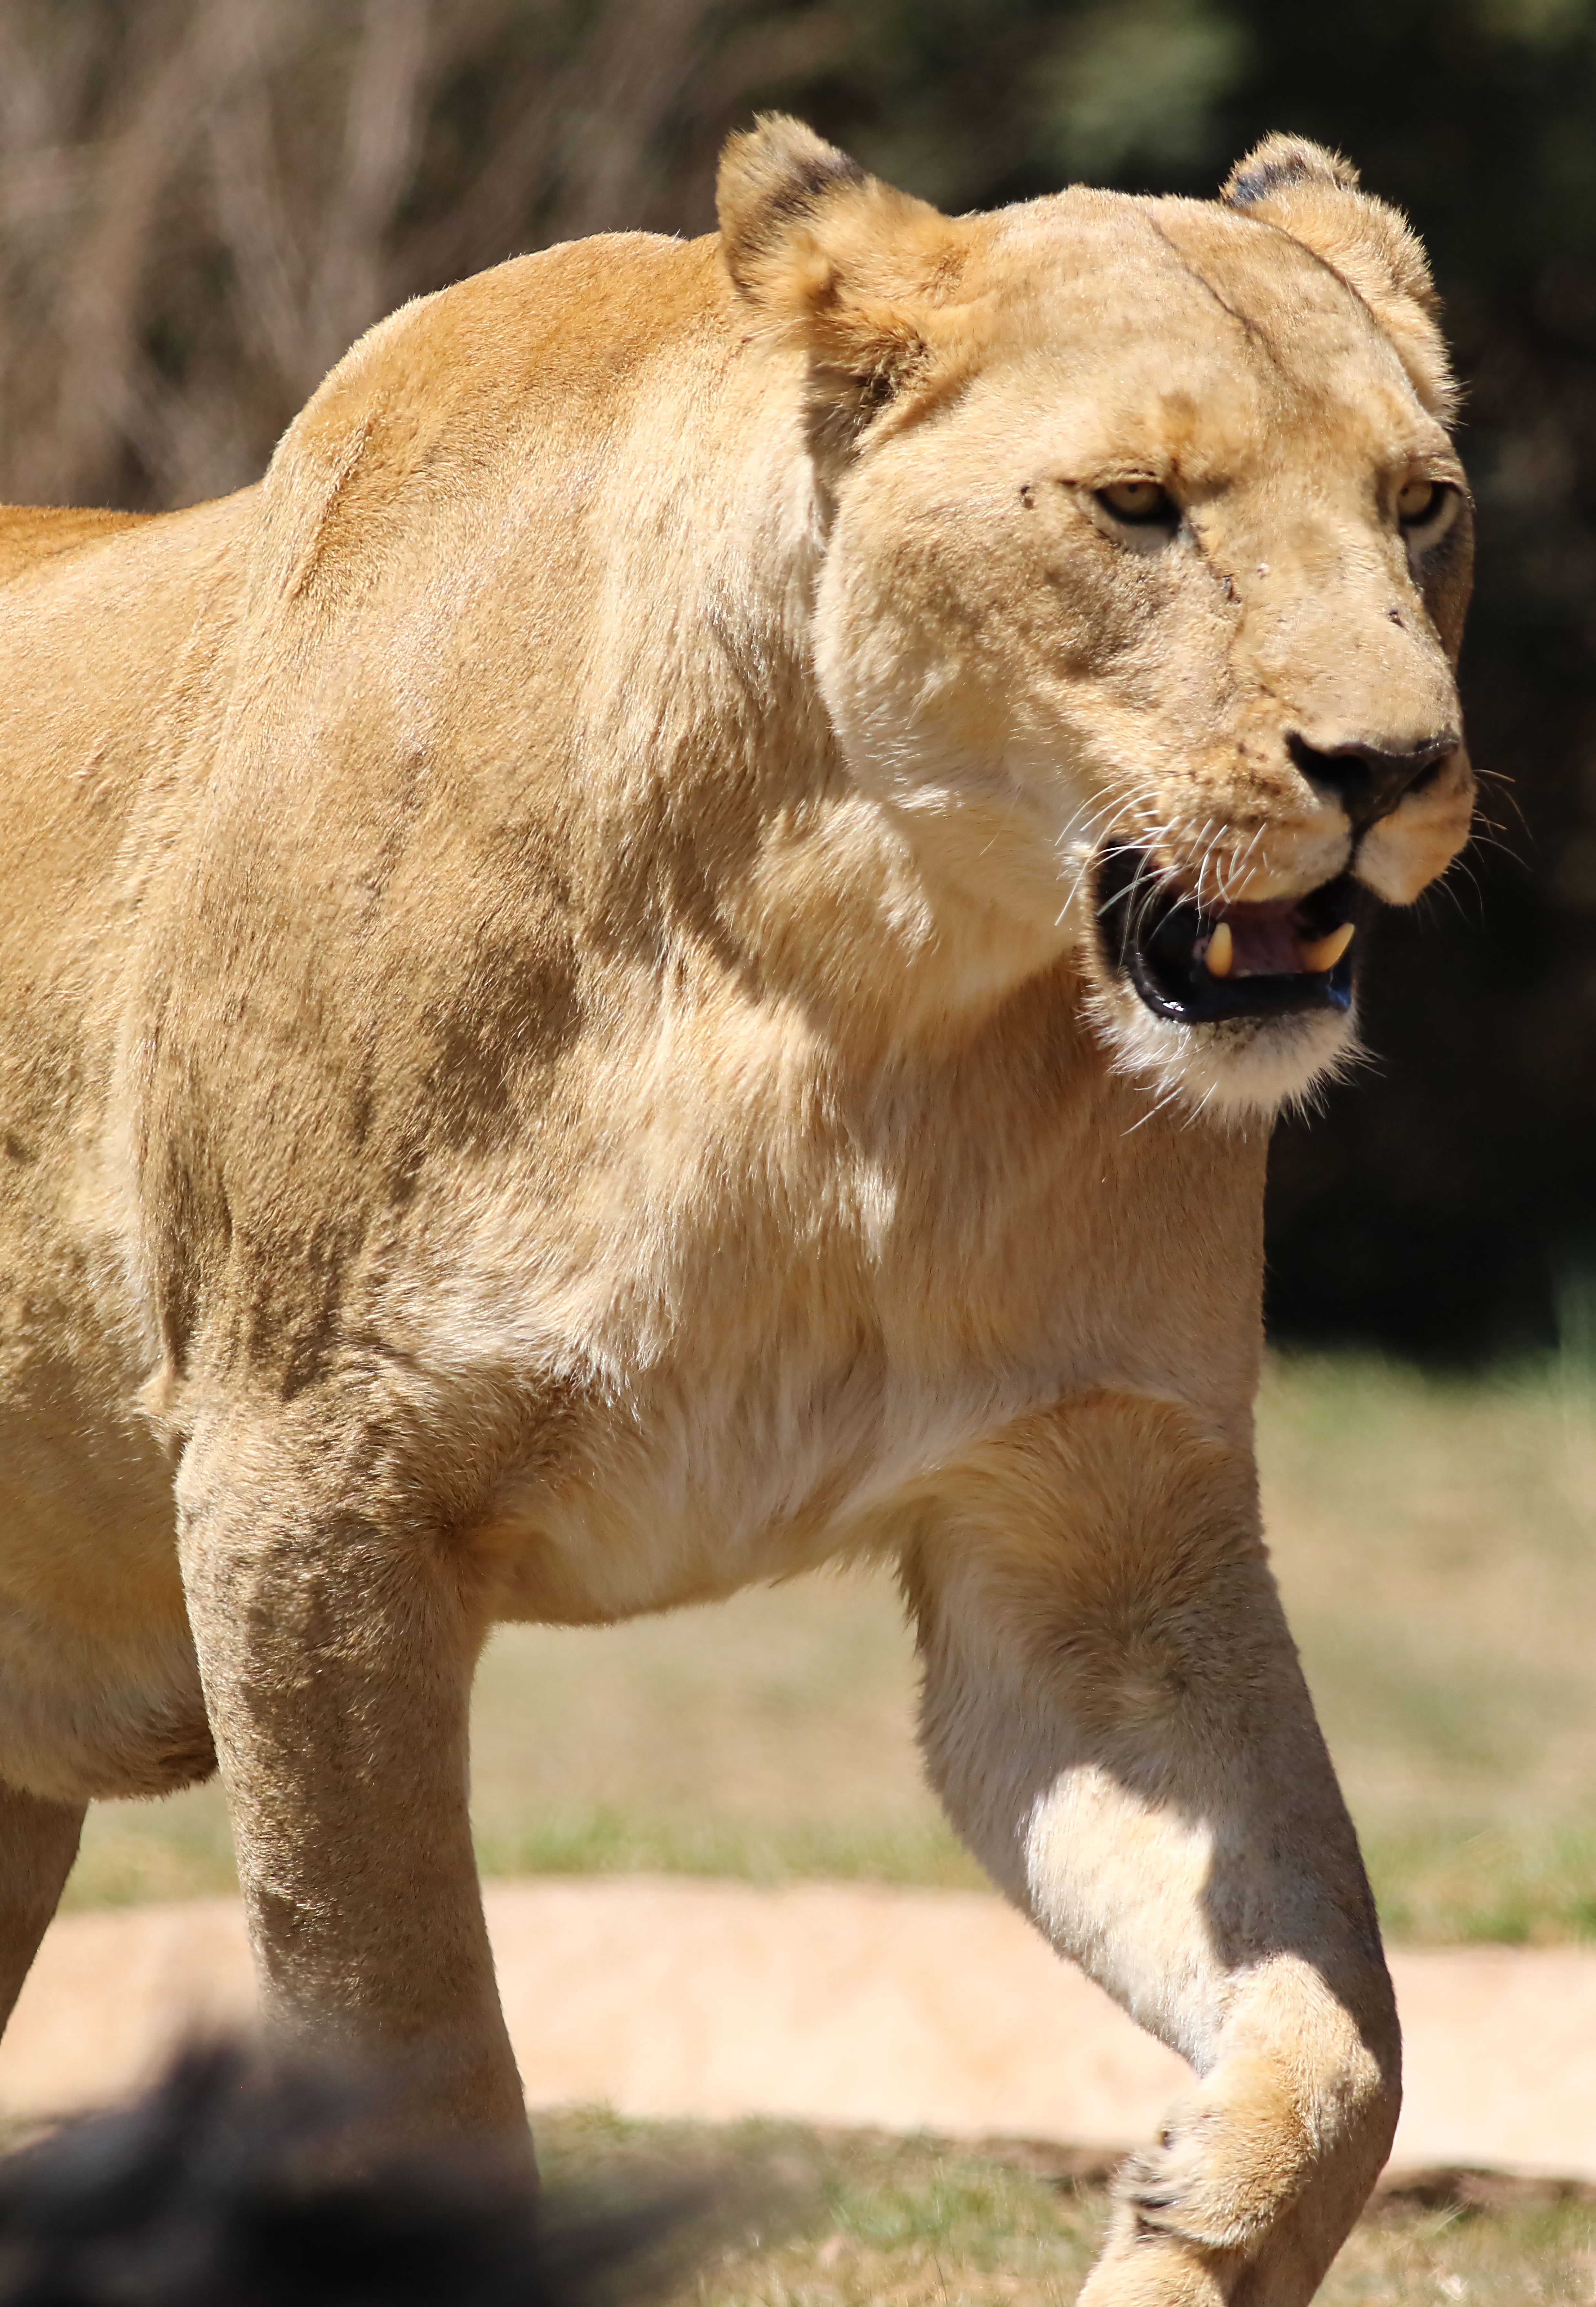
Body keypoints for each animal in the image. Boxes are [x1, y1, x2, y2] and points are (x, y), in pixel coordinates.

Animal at [0, 117, 1471, 2304]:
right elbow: (412, 2042)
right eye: (1136, 508)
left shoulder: (1092, 1532)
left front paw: (1183, 2210)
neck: (846, 984)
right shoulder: (302, 1489)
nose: (1394, 766)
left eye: (1417, 504)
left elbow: (1342, 2015)